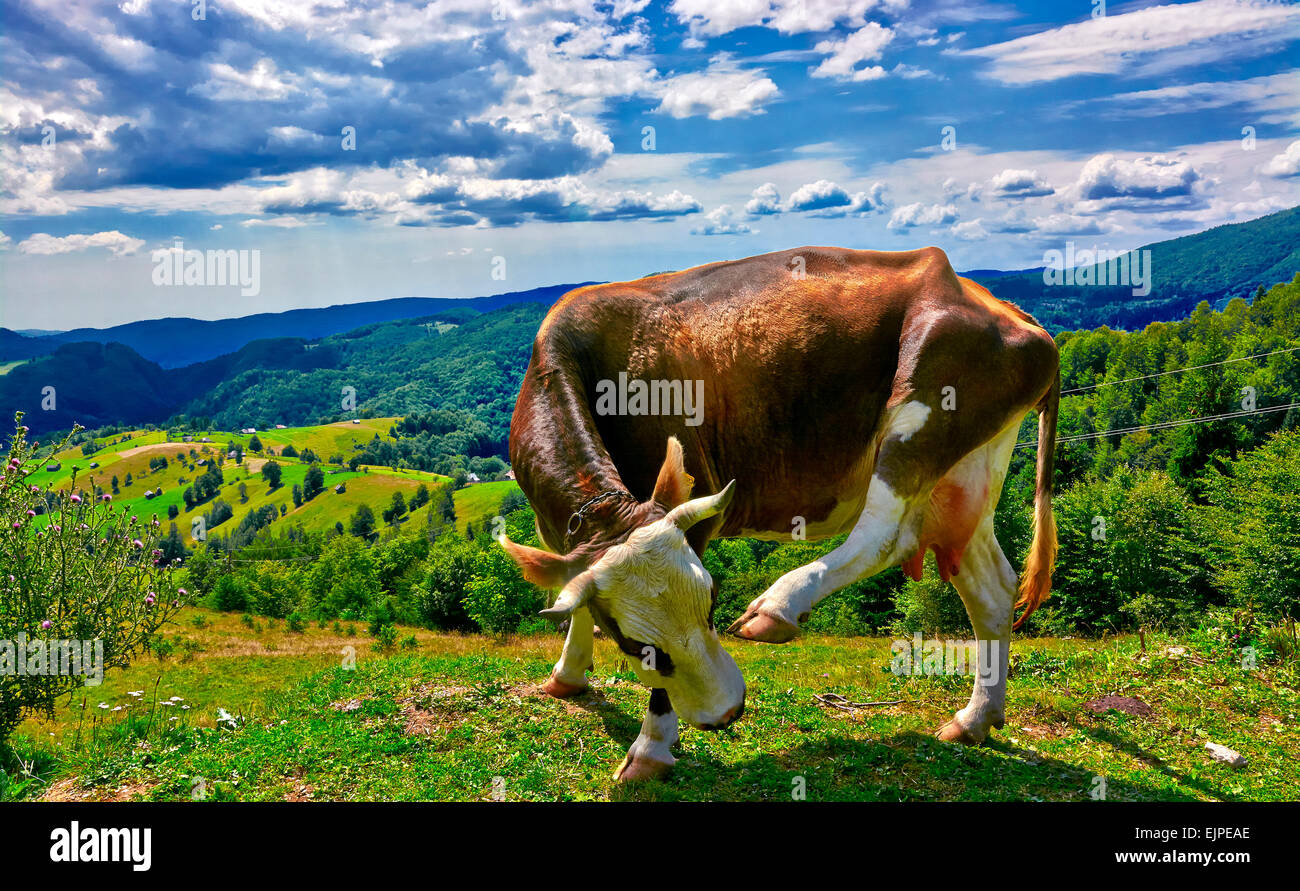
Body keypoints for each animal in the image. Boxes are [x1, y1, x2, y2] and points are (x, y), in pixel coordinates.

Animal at [500, 246, 1059, 782]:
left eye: (711, 602)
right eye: (636, 644)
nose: (727, 713)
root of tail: (996, 303)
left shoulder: (696, 502)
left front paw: (652, 748)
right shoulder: (568, 540)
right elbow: (573, 598)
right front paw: (567, 676)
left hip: (925, 402)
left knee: (887, 534)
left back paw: (778, 606)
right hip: (964, 475)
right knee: (991, 589)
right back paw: (976, 719)